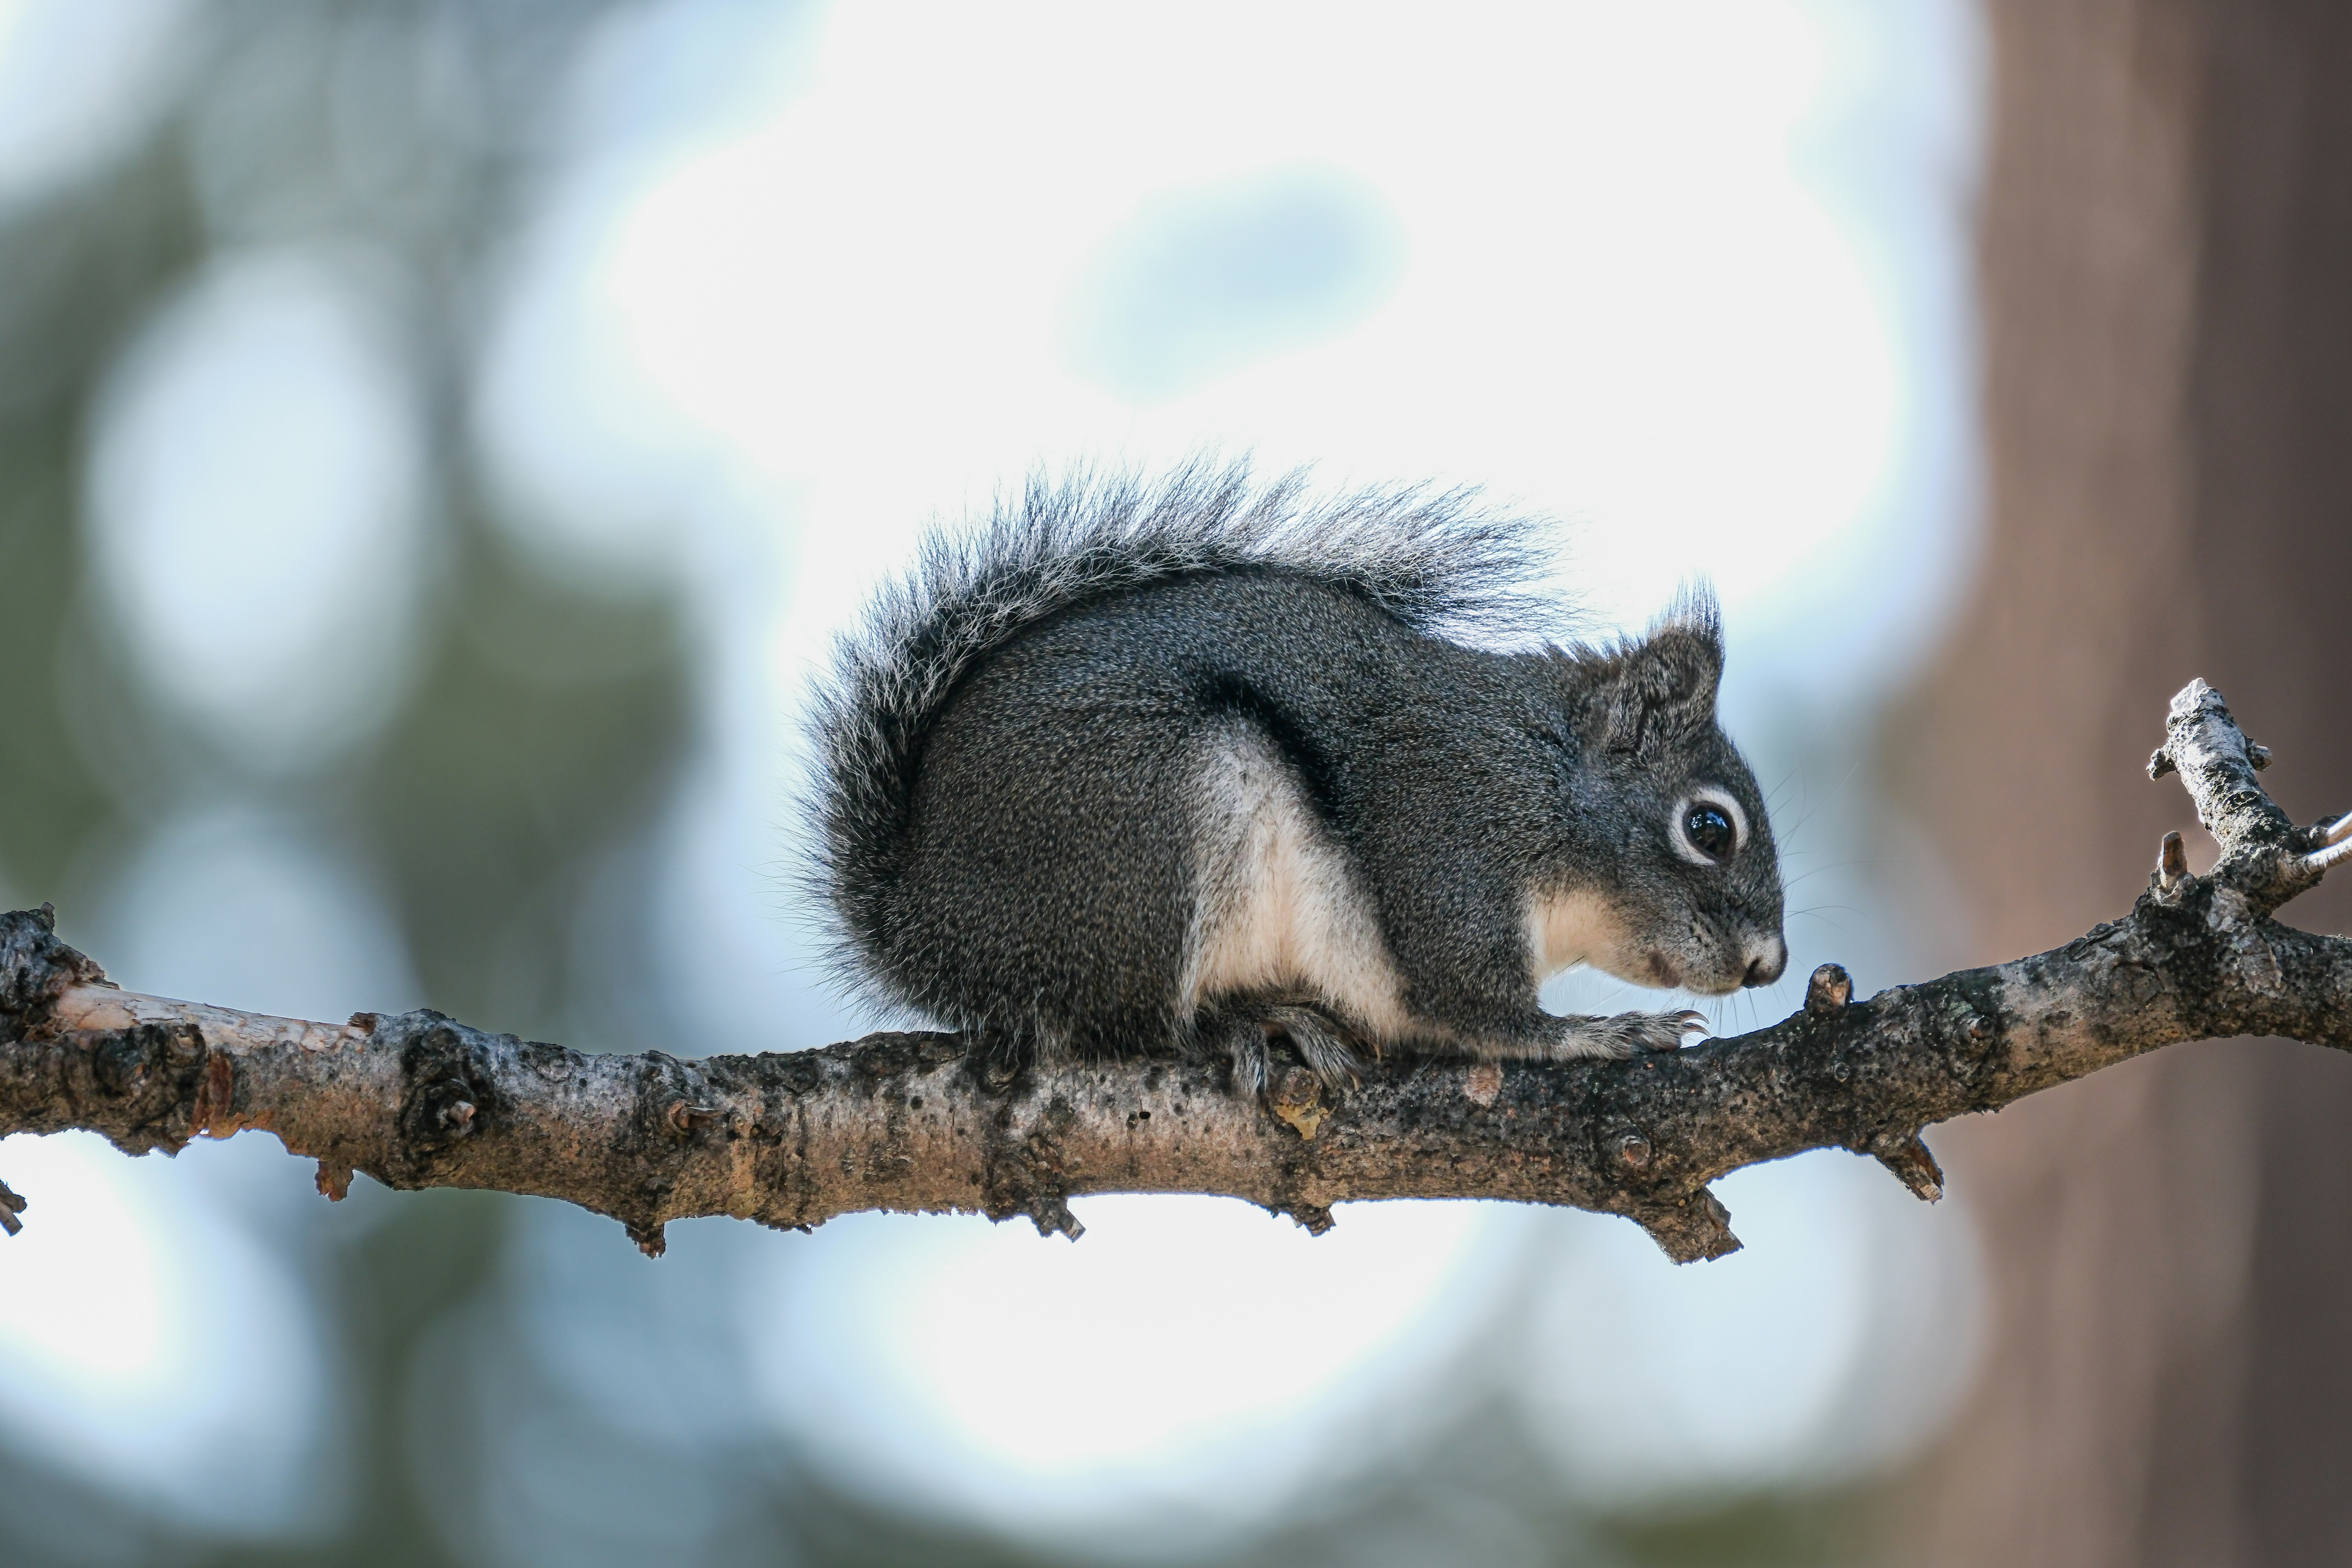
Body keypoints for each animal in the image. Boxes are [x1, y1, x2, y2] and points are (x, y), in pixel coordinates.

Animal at [805, 461, 1787, 1097]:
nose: (1769, 965)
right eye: (1709, 828)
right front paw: (1602, 1035)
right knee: (1122, 1028)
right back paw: (1242, 1023)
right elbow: (1478, 1013)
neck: (1536, 779)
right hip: (1146, 837)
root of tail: (925, 920)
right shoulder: (1449, 848)